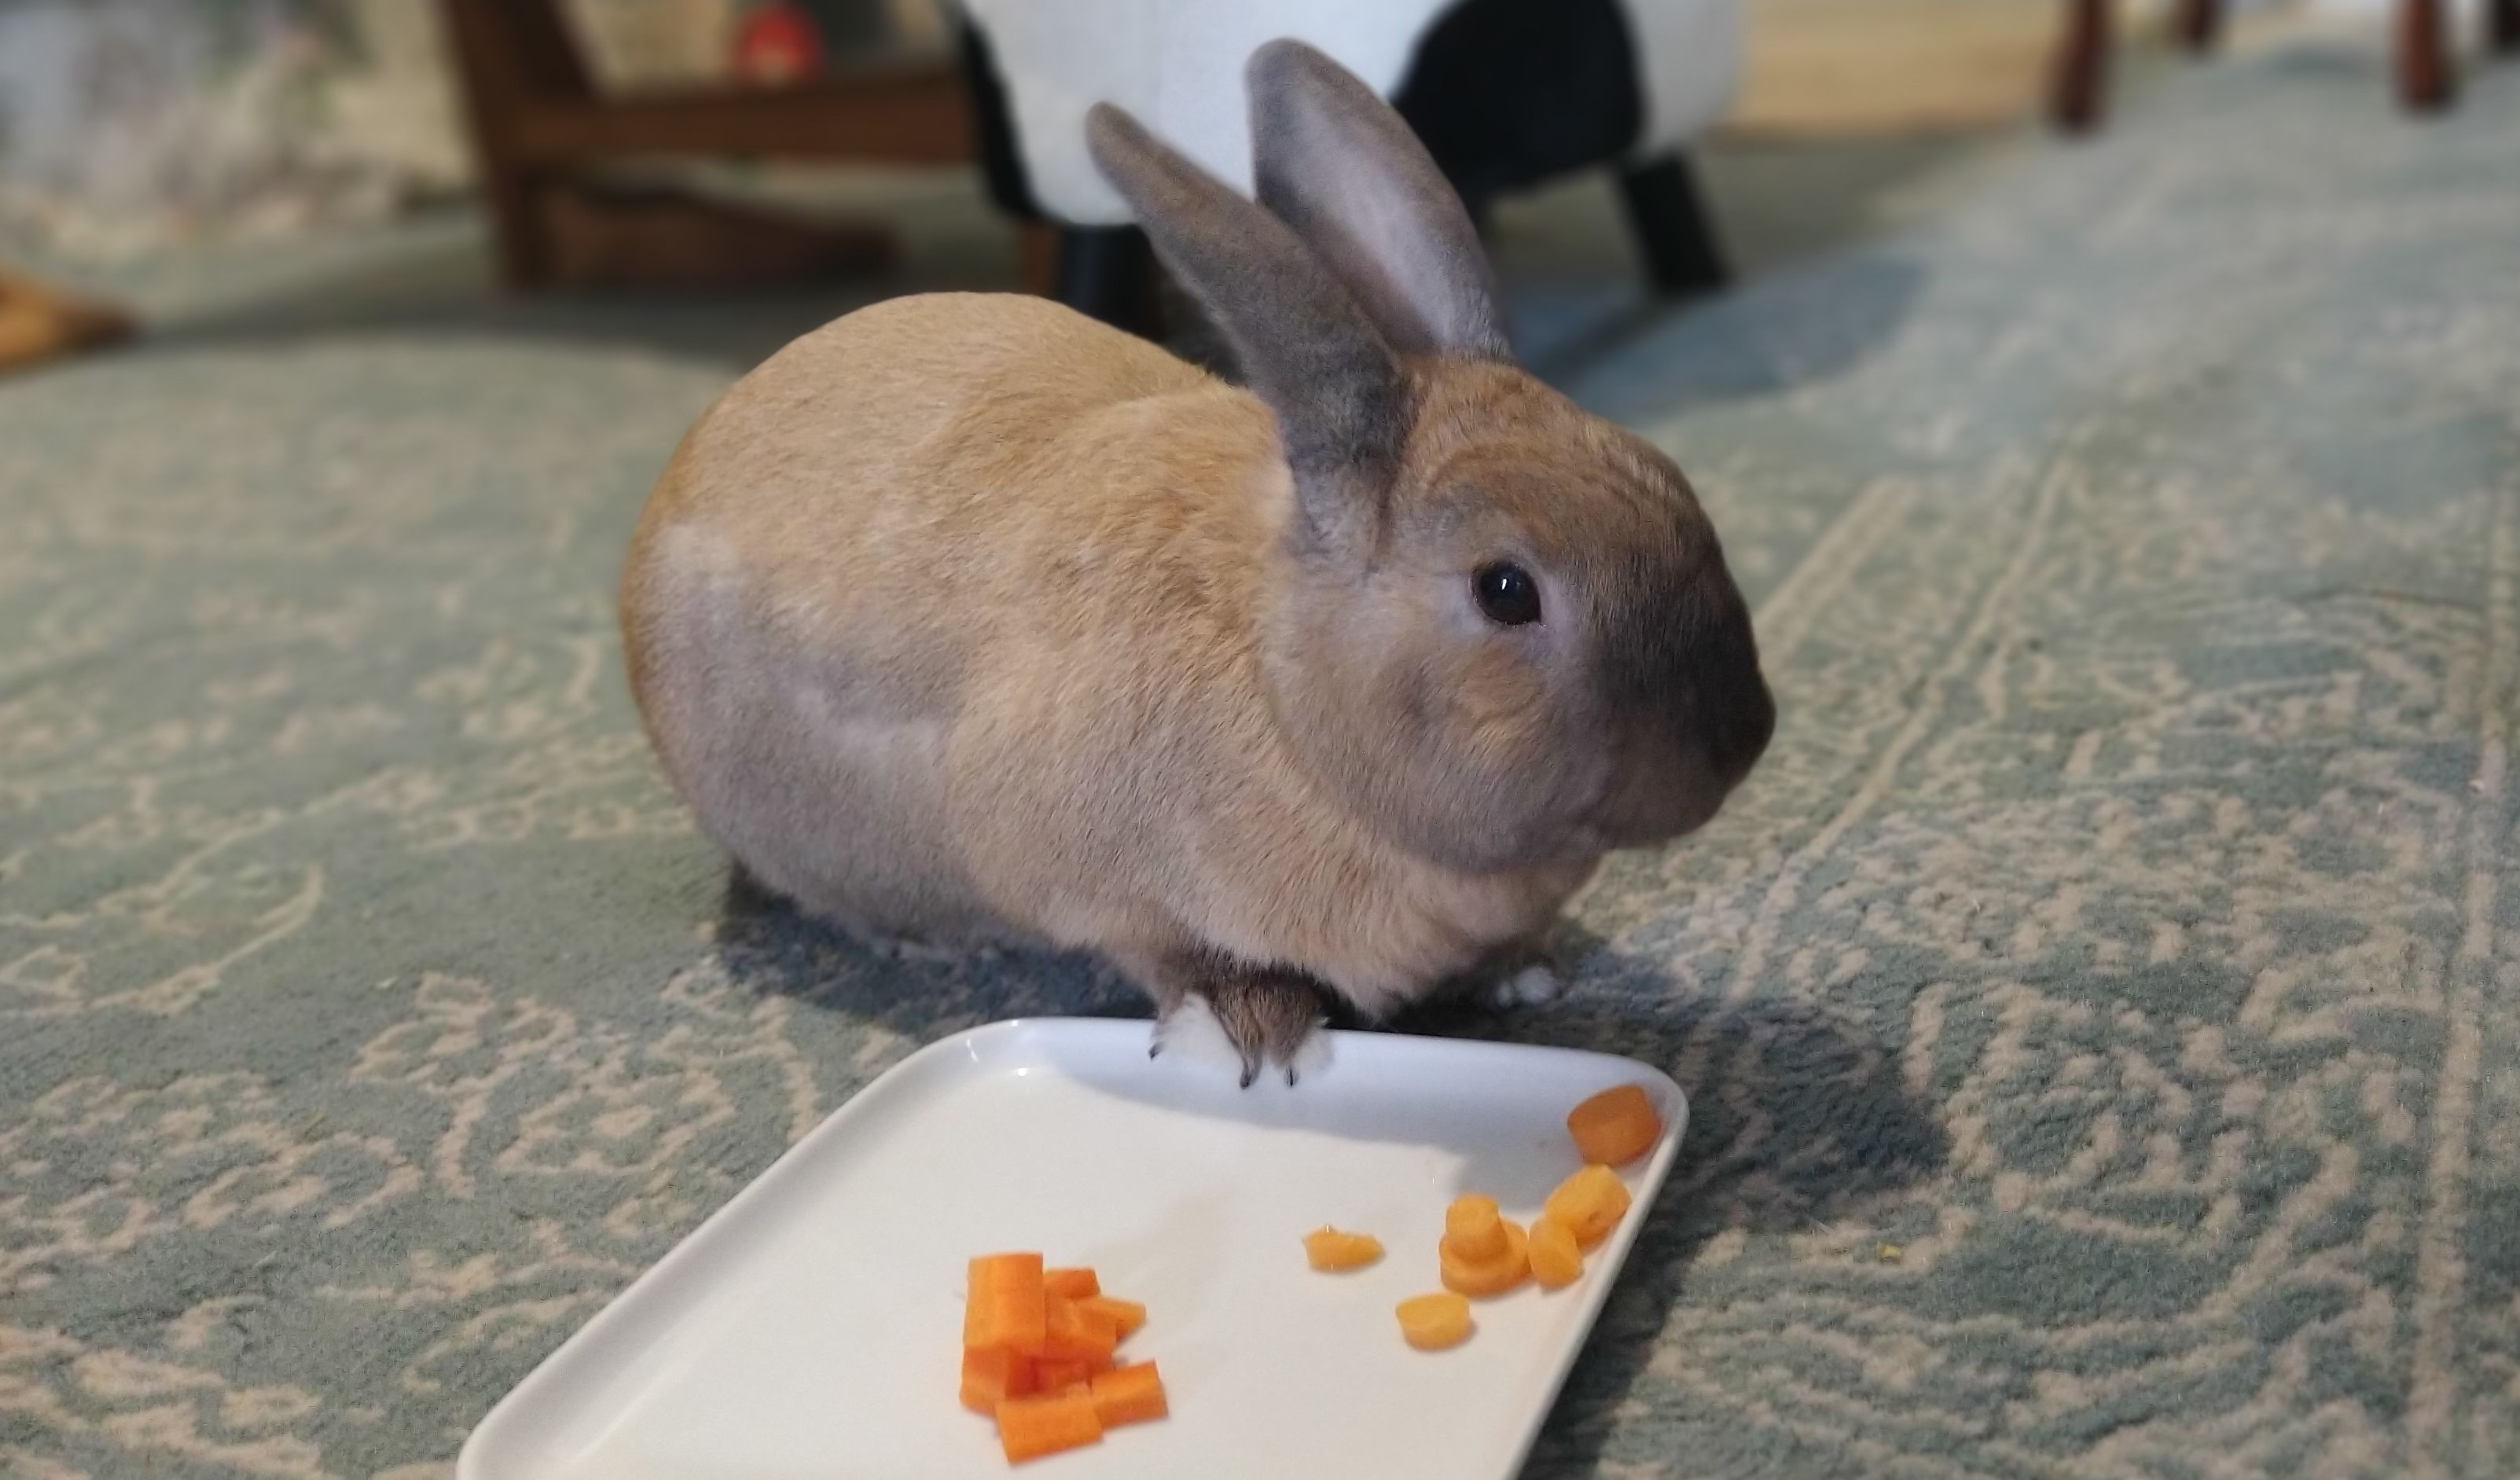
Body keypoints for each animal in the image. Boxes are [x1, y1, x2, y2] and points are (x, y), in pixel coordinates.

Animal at [619, 39, 1774, 1085]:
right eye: (1505, 589)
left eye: (1665, 477)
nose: (1743, 737)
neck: (1285, 684)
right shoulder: (1069, 861)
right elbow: (1164, 948)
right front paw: (1252, 1023)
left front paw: (1522, 971)